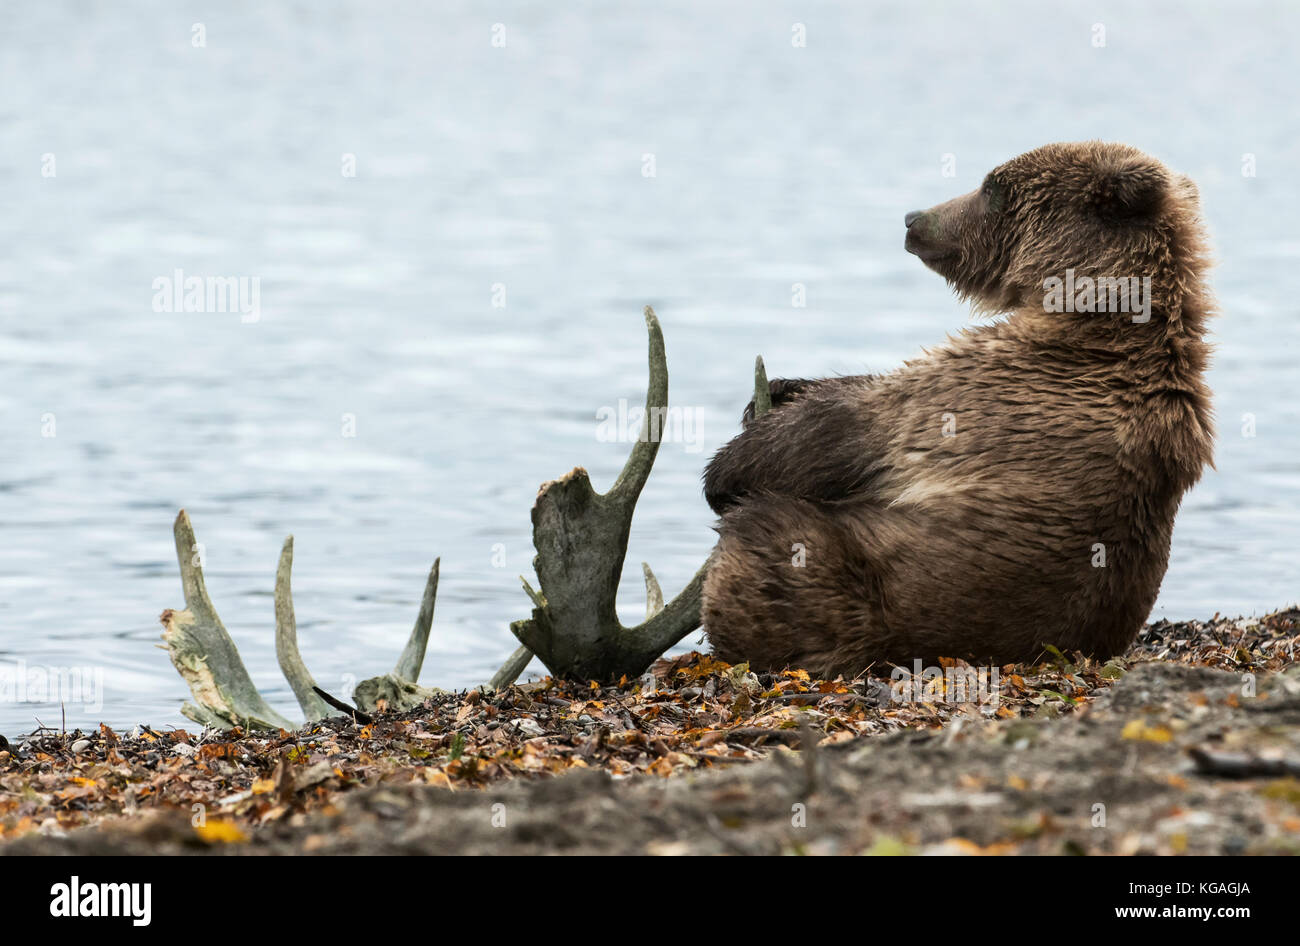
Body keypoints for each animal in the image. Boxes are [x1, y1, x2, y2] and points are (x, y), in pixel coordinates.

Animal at [701, 141, 1214, 679]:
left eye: (992, 187)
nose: (914, 219)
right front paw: (780, 389)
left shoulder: (981, 392)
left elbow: (846, 431)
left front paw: (728, 465)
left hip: (855, 588)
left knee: (772, 544)